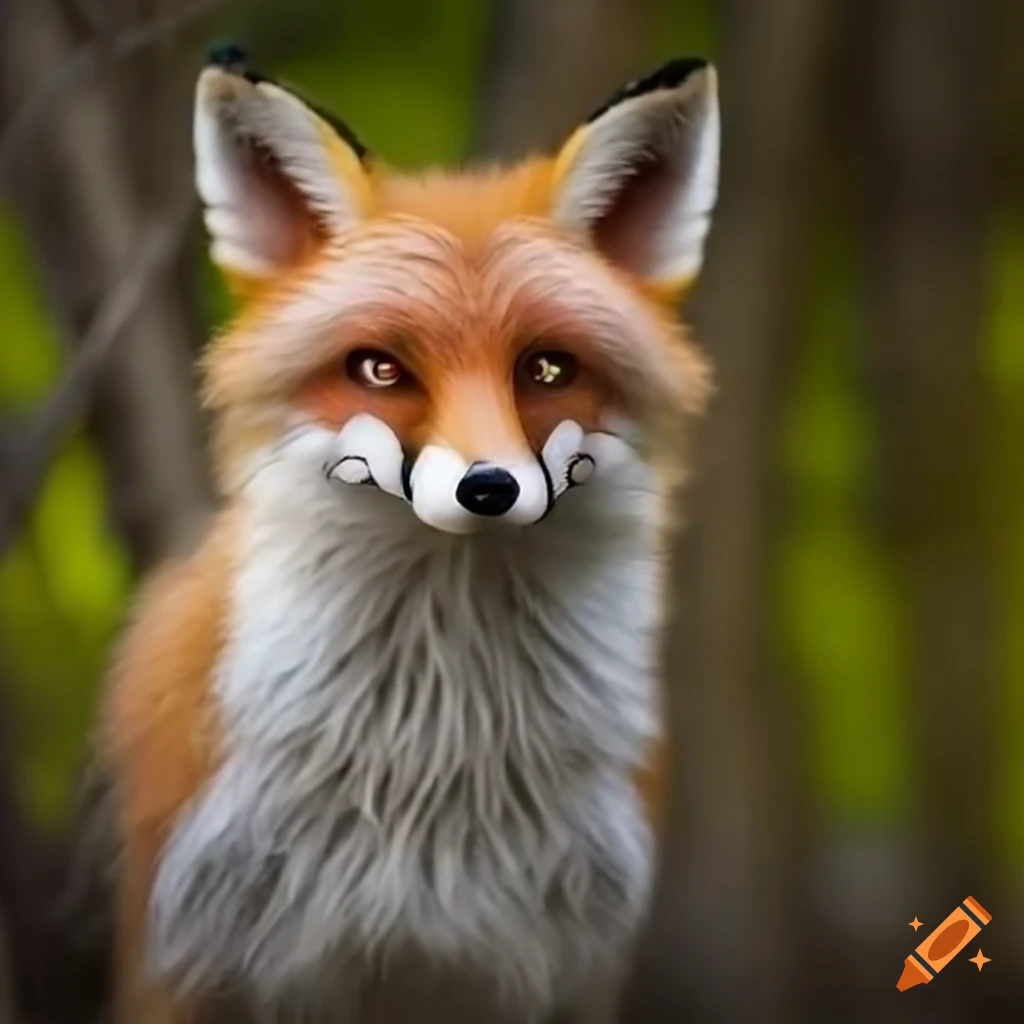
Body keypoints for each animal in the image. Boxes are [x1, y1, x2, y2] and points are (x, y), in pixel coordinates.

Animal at [100, 45, 719, 1024]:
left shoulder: (567, 963)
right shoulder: (186, 951)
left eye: (547, 369)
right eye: (380, 370)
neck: (433, 757)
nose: (490, 488)